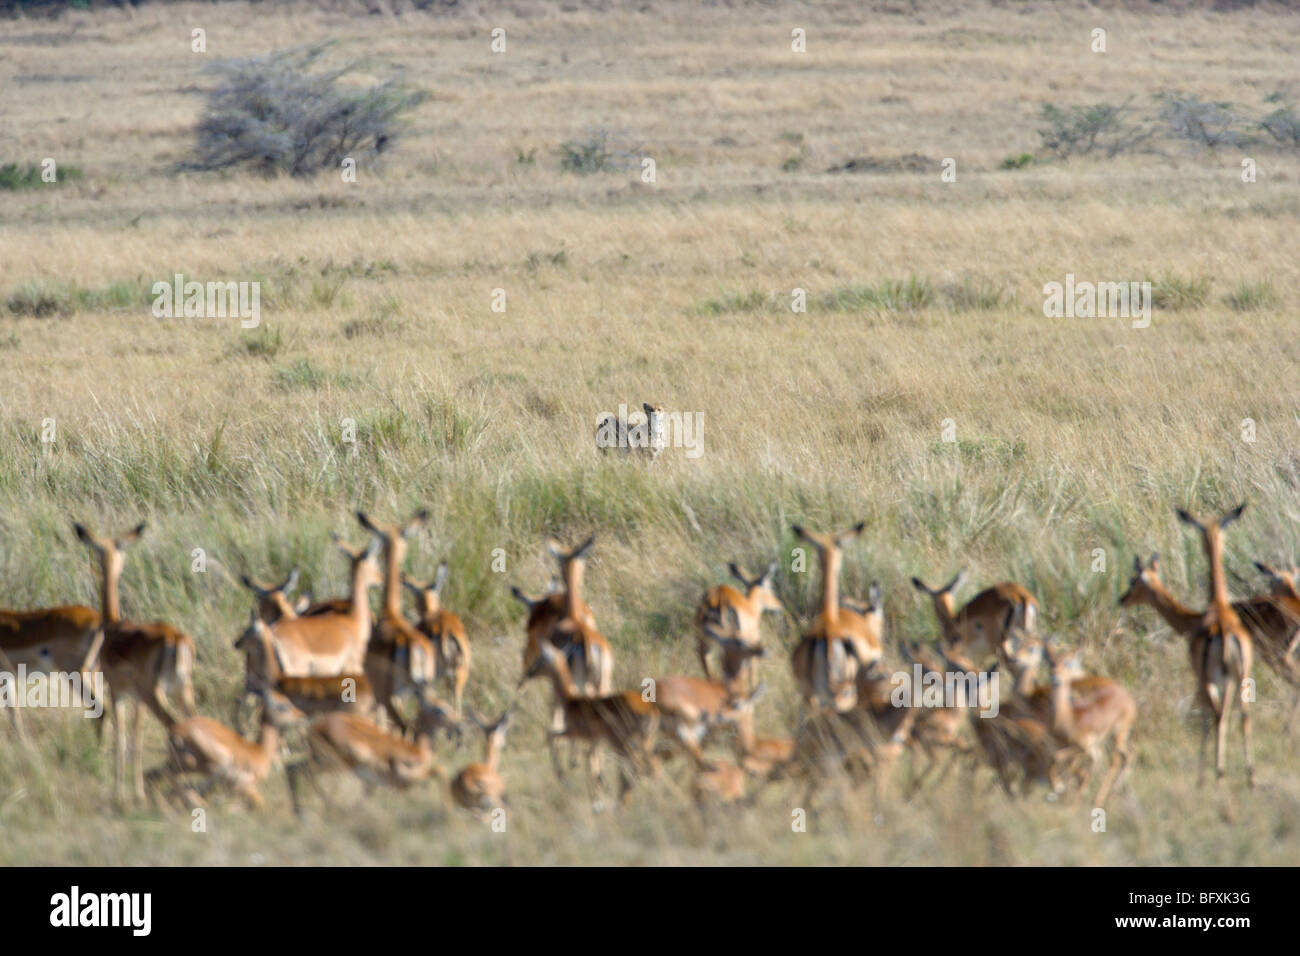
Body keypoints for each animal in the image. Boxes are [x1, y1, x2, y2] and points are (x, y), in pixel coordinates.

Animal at [74, 522, 197, 804]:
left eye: (99, 549)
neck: (114, 625)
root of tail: (177, 639)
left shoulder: (117, 691)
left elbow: (121, 736)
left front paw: (119, 792)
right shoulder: (138, 700)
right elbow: (136, 737)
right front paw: (136, 790)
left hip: (156, 694)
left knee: (175, 728)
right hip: (181, 691)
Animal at [145, 679, 305, 811]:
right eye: (283, 706)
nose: (302, 716)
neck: (260, 752)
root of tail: (176, 732)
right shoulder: (245, 786)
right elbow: (258, 804)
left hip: (179, 764)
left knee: (152, 775)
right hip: (215, 762)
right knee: (170, 777)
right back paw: (194, 802)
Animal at [522, 640, 659, 807]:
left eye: (540, 659)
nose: (529, 673)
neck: (571, 700)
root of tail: (650, 709)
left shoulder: (576, 733)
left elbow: (551, 736)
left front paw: (565, 781)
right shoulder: (594, 740)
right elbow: (591, 763)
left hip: (622, 743)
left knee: (639, 766)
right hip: (642, 742)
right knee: (651, 767)